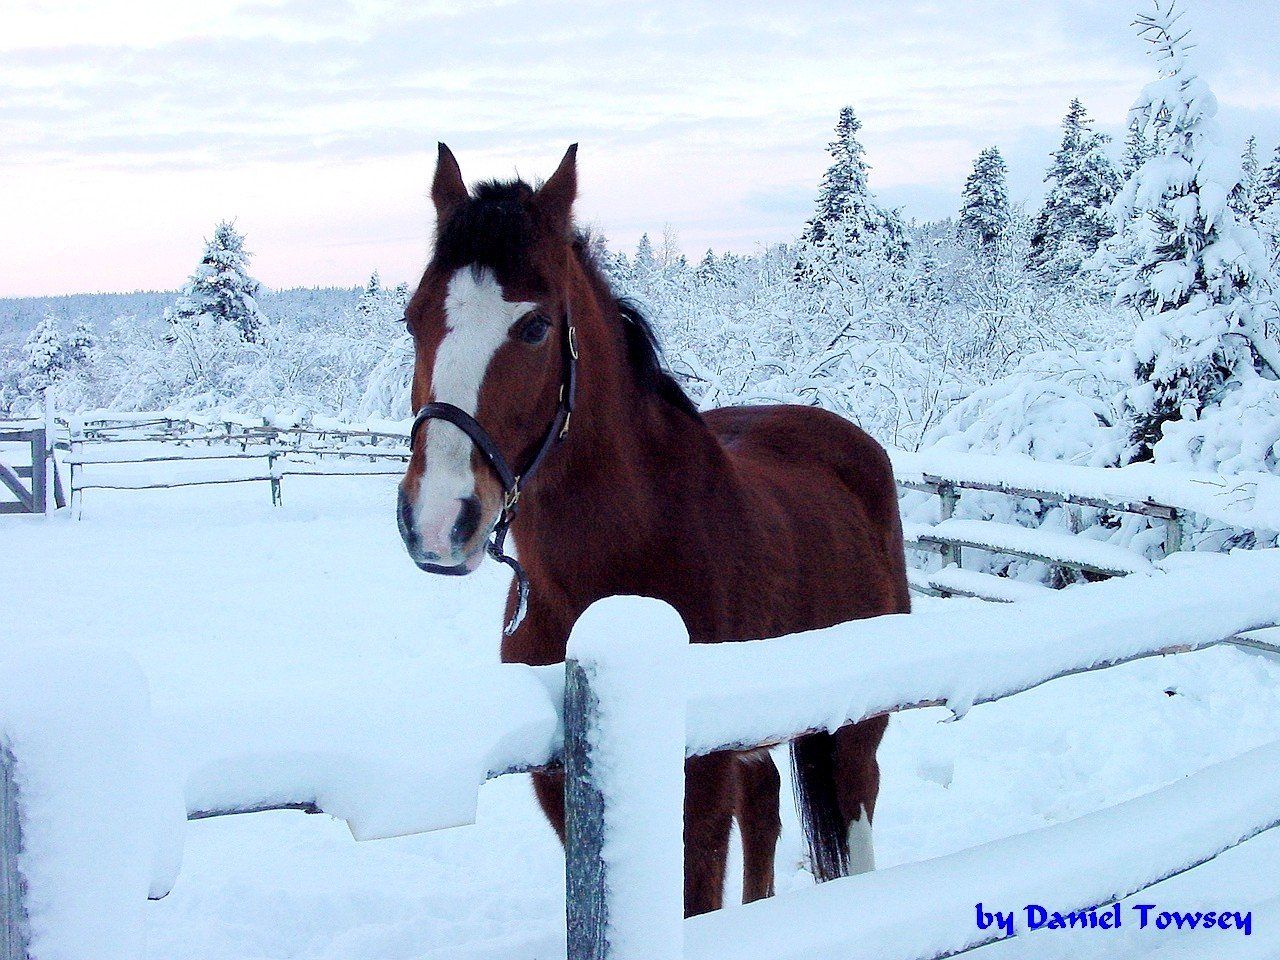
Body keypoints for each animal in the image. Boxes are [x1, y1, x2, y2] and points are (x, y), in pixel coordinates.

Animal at [396, 143, 911, 917]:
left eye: (535, 327)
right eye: (412, 318)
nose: (436, 519)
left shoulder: (696, 795)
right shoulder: (563, 790)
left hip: (853, 735)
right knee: (764, 809)